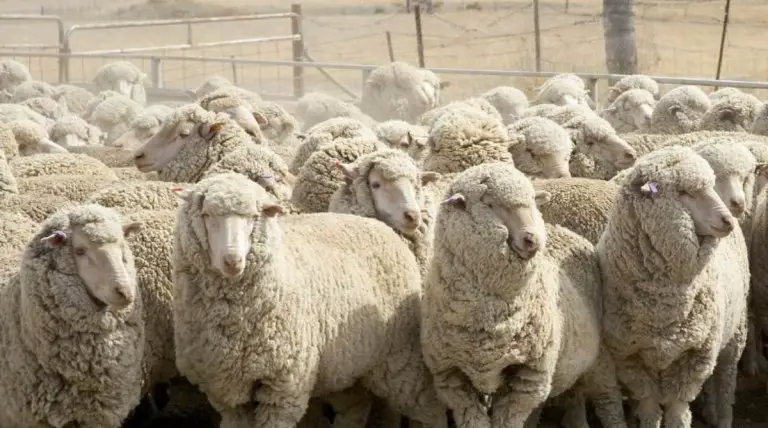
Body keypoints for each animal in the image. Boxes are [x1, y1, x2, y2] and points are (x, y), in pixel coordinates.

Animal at [172, 171, 447, 428]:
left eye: (253, 217)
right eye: (207, 215)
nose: (233, 261)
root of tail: (379, 225)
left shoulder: (284, 387)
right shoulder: (225, 391)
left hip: (399, 356)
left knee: (431, 407)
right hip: (343, 363)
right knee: (356, 406)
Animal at [421, 162, 626, 428]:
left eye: (532, 202)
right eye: (489, 204)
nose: (532, 239)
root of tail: (561, 229)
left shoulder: (529, 375)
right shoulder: (451, 376)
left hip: (599, 356)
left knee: (608, 398)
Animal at [597, 145, 748, 428]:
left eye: (709, 186)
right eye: (685, 192)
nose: (728, 221)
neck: (662, 302)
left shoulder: (695, 355)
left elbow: (678, 411)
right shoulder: (630, 356)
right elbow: (649, 408)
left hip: (736, 329)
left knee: (726, 377)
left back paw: (723, 415)